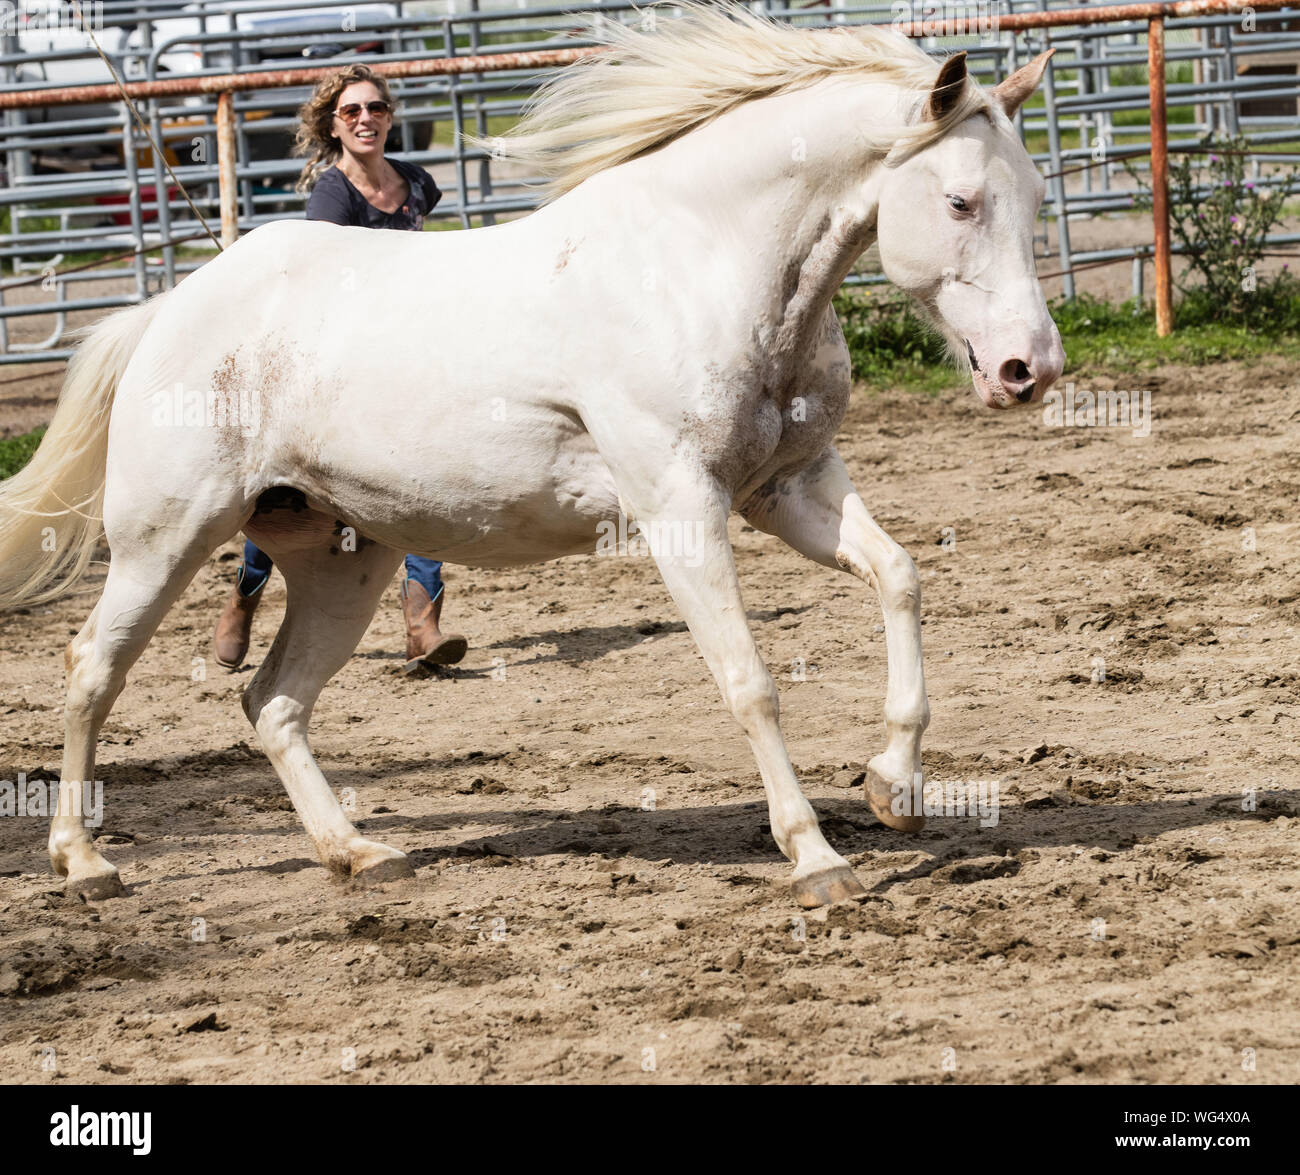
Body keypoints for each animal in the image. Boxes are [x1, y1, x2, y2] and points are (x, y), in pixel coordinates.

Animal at [0, 5, 1064, 909]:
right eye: (960, 201)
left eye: (1033, 198)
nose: (1030, 368)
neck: (702, 264)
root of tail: (166, 310)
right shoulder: (680, 507)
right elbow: (748, 678)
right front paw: (814, 858)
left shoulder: (790, 489)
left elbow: (900, 576)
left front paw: (894, 789)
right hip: (166, 537)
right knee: (94, 668)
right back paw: (83, 862)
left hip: (344, 557)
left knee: (274, 700)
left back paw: (358, 851)